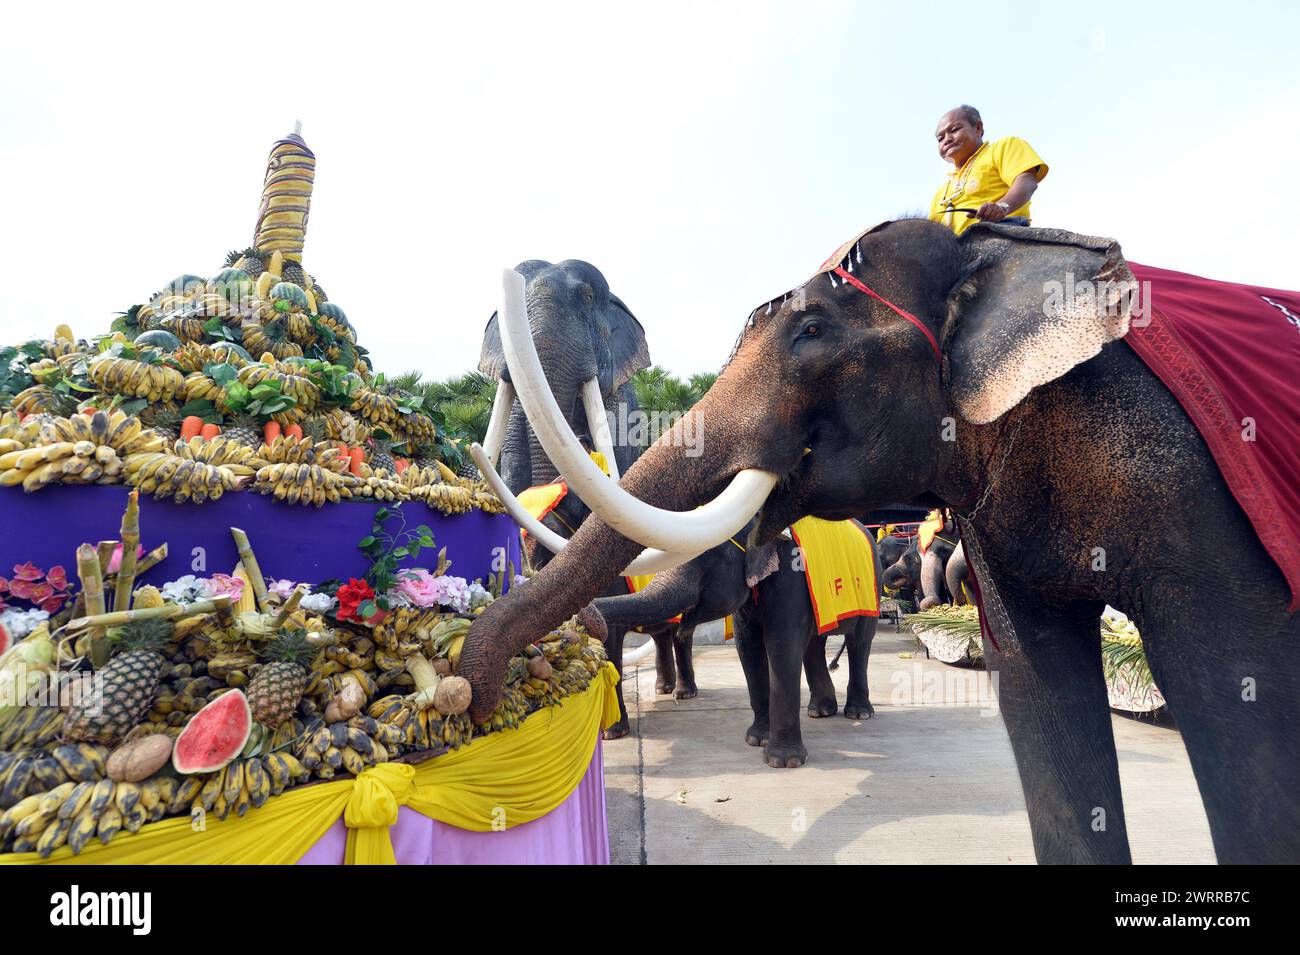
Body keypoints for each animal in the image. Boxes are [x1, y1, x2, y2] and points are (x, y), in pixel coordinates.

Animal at [592, 519, 879, 767]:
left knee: (859, 642)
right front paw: (756, 739)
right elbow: (747, 646)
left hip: (870, 586)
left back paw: (858, 714)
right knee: (815, 646)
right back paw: (820, 711)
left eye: (706, 554)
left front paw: (783, 761)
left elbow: (783, 642)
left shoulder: (792, 575)